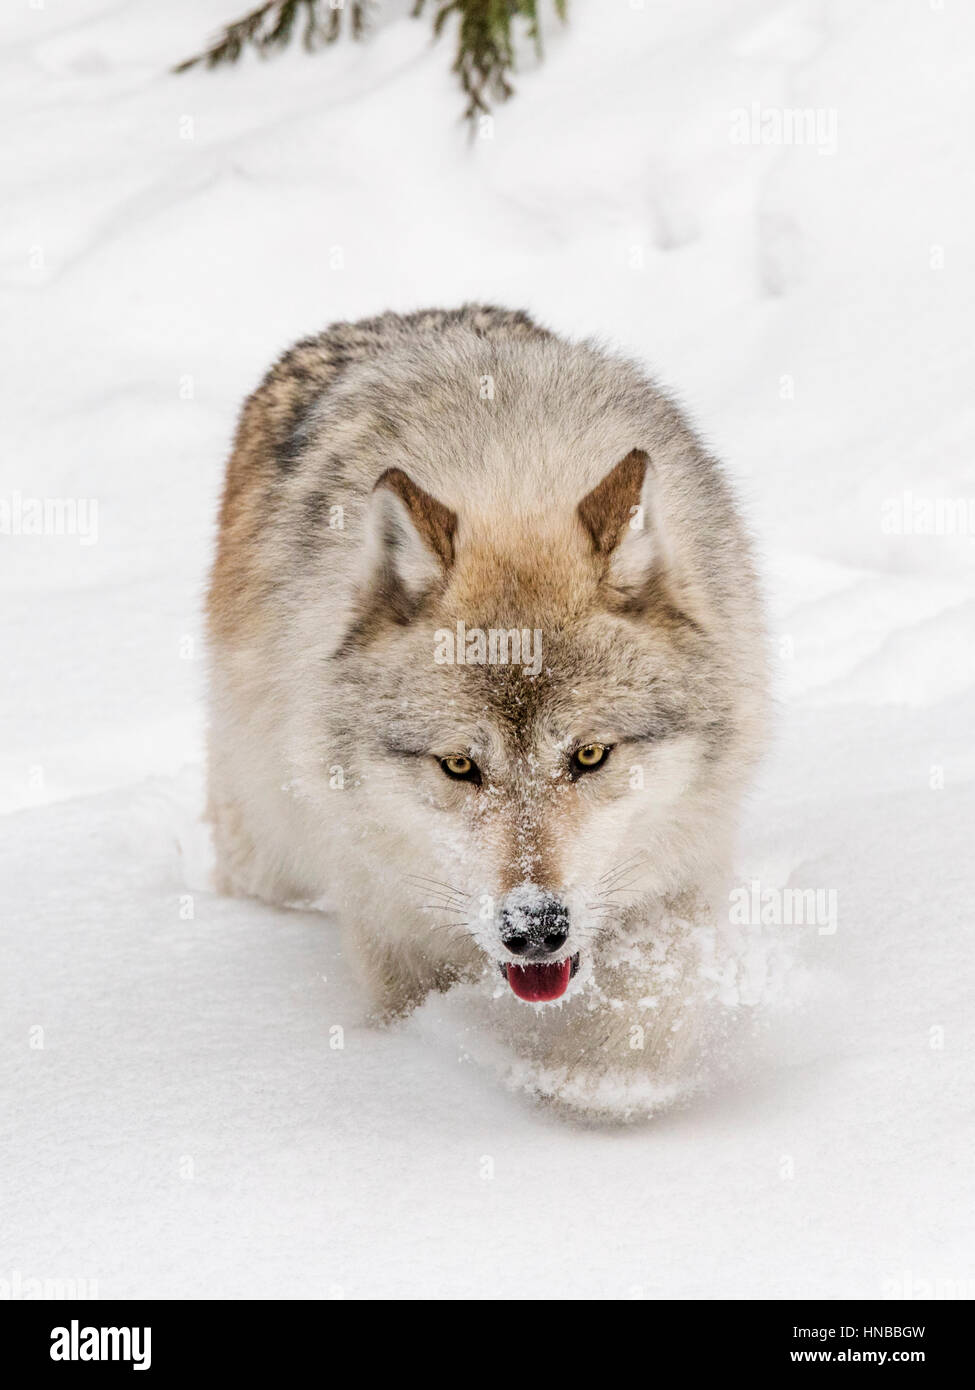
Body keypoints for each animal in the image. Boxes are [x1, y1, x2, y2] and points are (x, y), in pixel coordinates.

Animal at [206, 305, 767, 1106]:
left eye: (589, 754)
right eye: (459, 765)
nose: (533, 929)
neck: (513, 483)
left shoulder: (684, 861)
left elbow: (650, 997)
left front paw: (601, 1082)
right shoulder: (387, 910)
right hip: (265, 835)